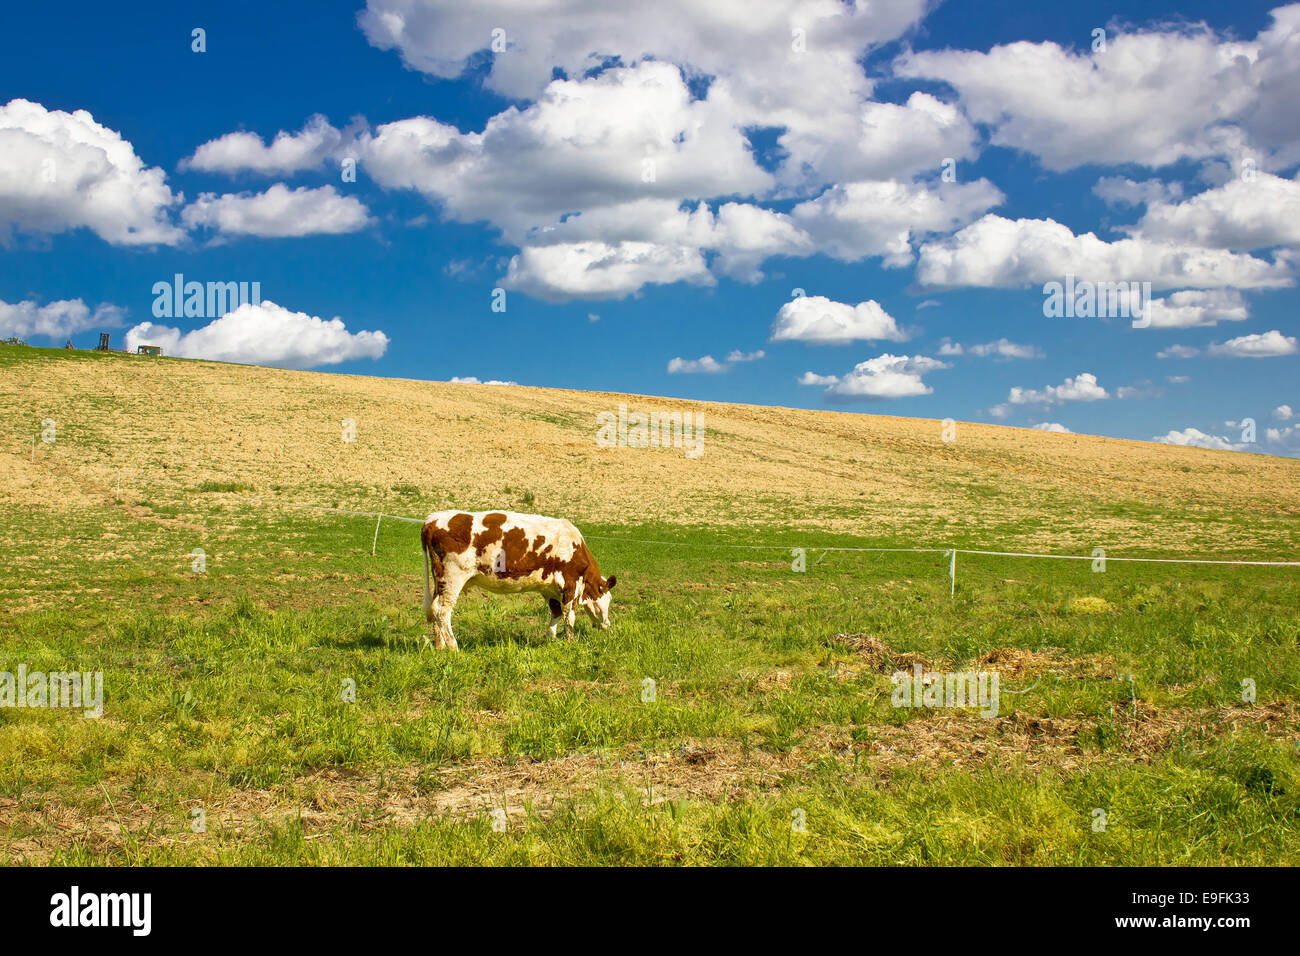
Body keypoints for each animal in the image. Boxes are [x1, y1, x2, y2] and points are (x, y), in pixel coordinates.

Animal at [420, 510, 617, 650]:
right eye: (607, 599)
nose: (607, 625)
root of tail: (431, 520)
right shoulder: (571, 584)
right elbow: (569, 617)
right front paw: (571, 642)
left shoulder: (550, 589)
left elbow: (556, 613)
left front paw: (551, 639)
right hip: (453, 577)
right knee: (442, 611)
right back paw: (453, 647)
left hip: (440, 580)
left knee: (434, 608)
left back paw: (440, 646)